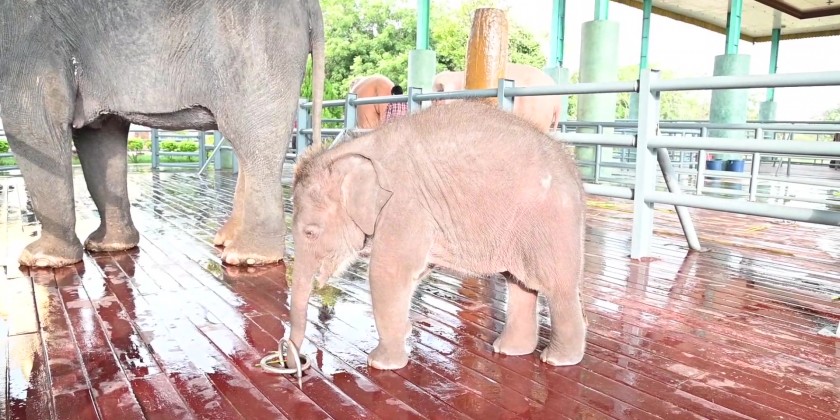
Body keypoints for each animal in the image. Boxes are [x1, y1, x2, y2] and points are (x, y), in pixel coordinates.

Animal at [0, 0, 325, 267]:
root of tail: (310, 6)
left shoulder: (31, 39)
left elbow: (31, 125)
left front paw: (39, 259)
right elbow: (100, 136)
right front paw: (107, 247)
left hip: (257, 50)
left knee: (254, 141)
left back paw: (247, 257)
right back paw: (228, 242)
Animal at [288, 100, 588, 370]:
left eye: (310, 232)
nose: (299, 362)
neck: (355, 148)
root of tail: (572, 169)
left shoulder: (405, 204)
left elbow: (387, 272)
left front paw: (380, 364)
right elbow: (414, 272)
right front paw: (406, 331)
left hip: (551, 222)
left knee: (557, 286)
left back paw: (557, 359)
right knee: (519, 283)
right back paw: (509, 350)